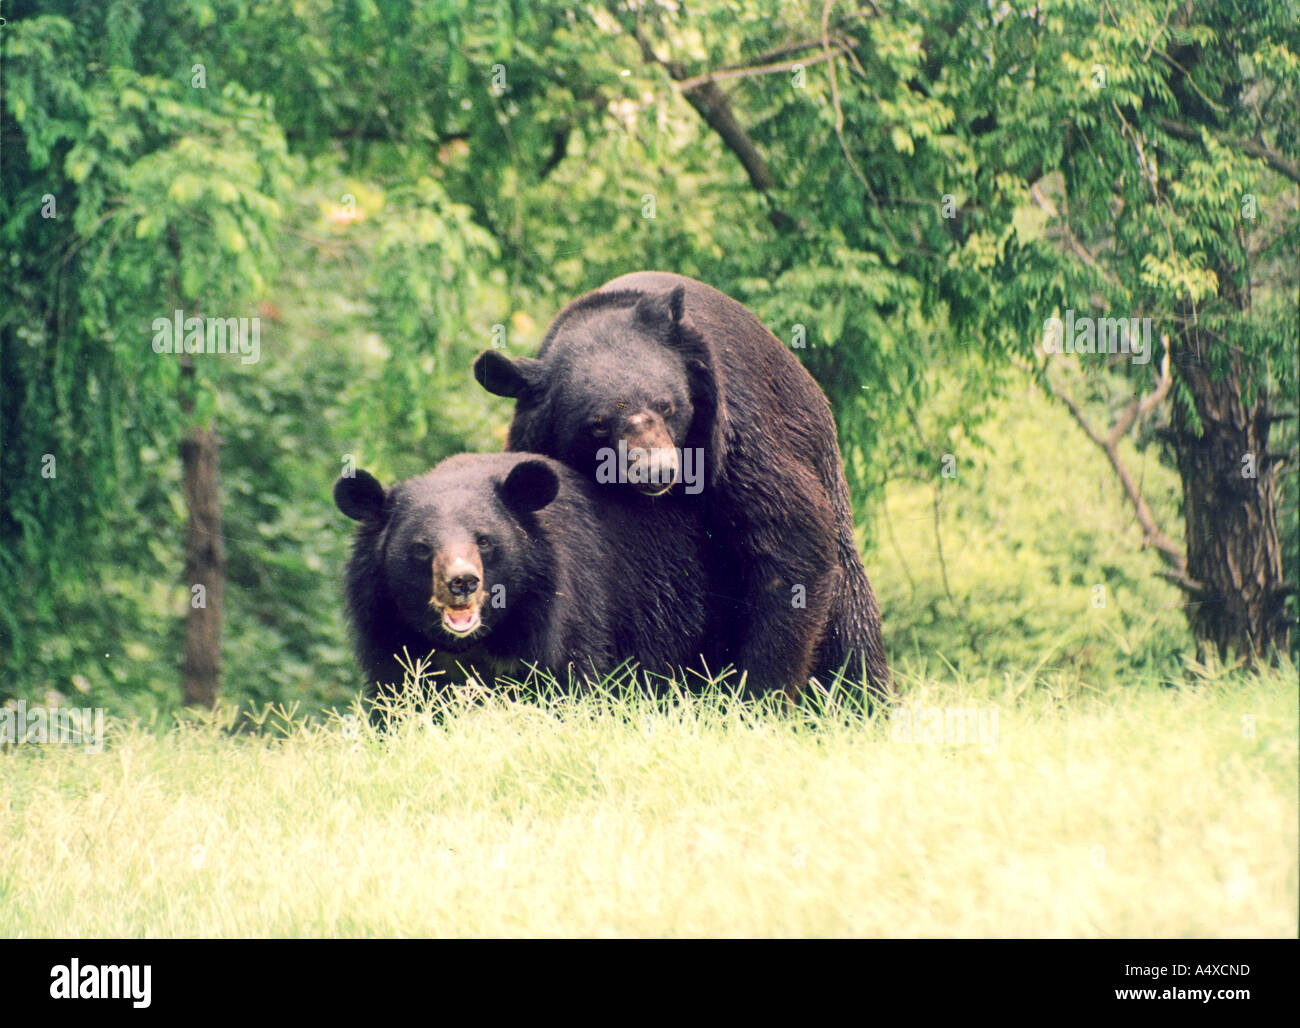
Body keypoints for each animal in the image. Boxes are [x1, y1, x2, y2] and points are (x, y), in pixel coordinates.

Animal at [333, 451, 714, 713]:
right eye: (422, 547)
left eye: (484, 540)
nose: (462, 581)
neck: (470, 643)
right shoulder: (386, 633)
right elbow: (398, 696)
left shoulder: (560, 617)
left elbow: (564, 683)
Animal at [473, 271, 890, 704]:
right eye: (599, 423)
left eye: (665, 405)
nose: (657, 471)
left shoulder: (738, 433)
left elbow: (792, 536)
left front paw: (758, 694)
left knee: (850, 626)